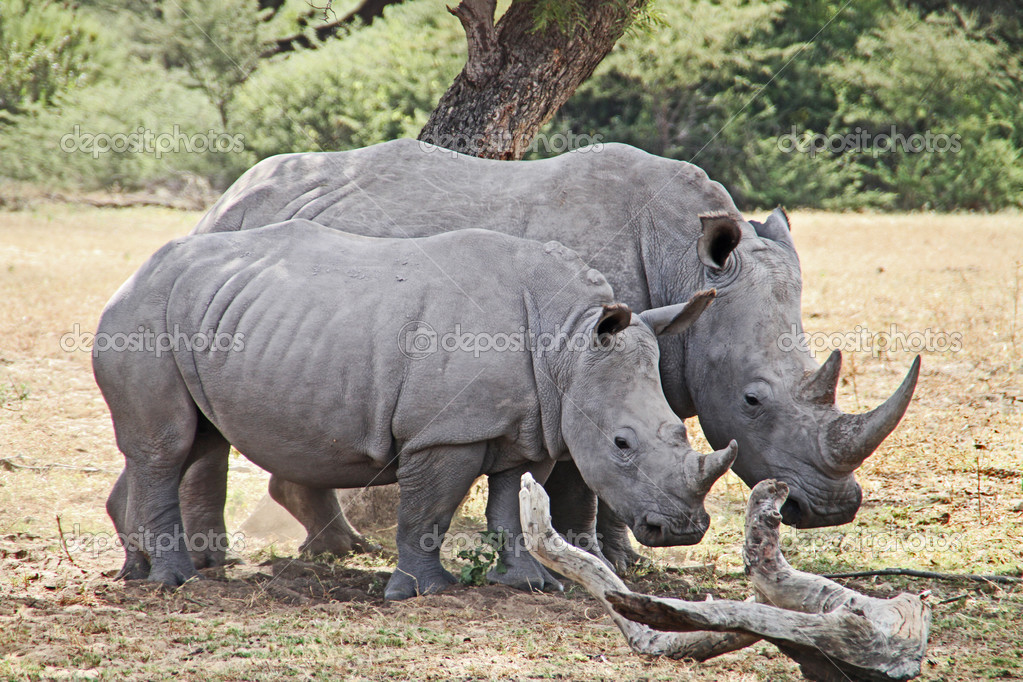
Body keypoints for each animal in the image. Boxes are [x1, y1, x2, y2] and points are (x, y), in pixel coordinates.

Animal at [96, 221, 737, 598]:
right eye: (622, 444)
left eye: (678, 430)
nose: (685, 531)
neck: (568, 343)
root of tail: (133, 275)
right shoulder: (444, 432)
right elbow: (429, 511)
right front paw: (427, 591)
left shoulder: (529, 426)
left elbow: (510, 507)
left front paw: (529, 585)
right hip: (144, 319)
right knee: (170, 446)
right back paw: (174, 582)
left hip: (204, 314)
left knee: (193, 441)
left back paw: (135, 572)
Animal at [135, 139, 918, 571]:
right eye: (753, 400)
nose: (832, 510)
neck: (685, 262)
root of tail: (226, 196)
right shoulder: (585, 353)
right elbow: (579, 468)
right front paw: (592, 554)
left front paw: (624, 554)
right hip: (237, 252)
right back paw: (251, 555)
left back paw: (336, 548)